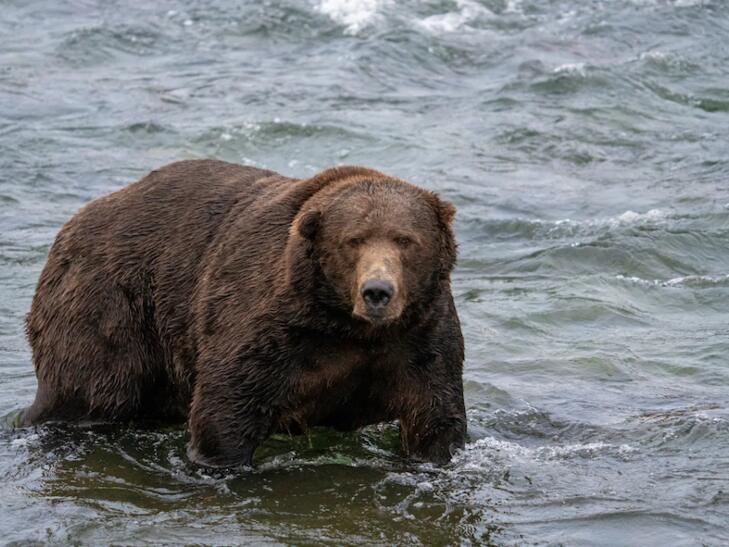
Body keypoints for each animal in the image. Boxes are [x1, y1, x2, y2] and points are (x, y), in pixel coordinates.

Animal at [21, 159, 466, 467]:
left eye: (405, 240)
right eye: (353, 240)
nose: (377, 292)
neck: (347, 327)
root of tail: (75, 222)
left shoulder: (418, 337)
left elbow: (435, 415)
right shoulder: (270, 328)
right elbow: (226, 405)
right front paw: (219, 461)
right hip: (110, 305)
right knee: (89, 389)